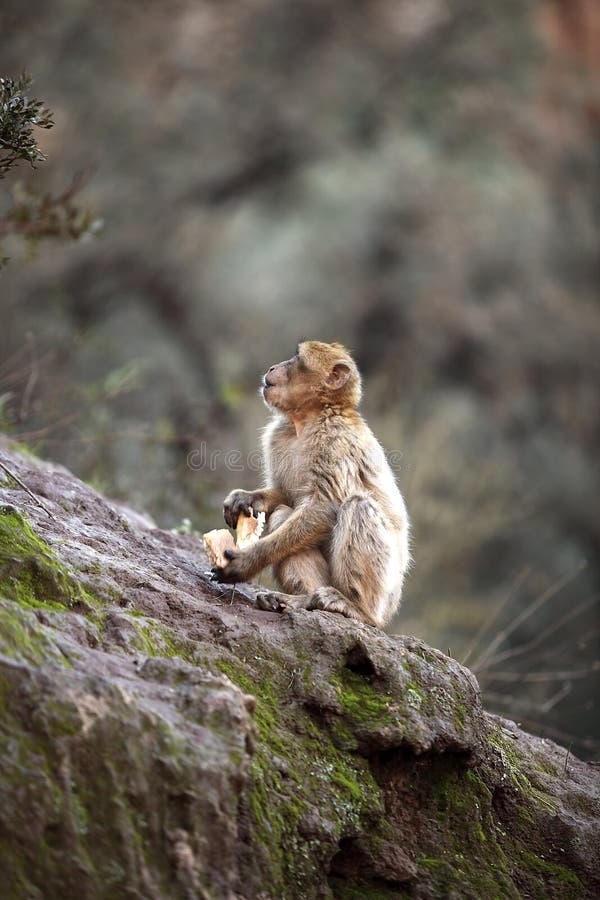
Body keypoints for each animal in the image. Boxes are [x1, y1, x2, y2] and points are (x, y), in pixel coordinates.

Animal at [212, 340, 410, 628]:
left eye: (296, 359)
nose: (273, 367)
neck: (309, 419)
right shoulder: (278, 435)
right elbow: (286, 496)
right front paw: (245, 498)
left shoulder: (334, 442)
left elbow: (324, 506)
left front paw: (249, 561)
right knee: (283, 515)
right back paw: (301, 600)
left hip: (386, 595)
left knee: (358, 506)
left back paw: (357, 610)